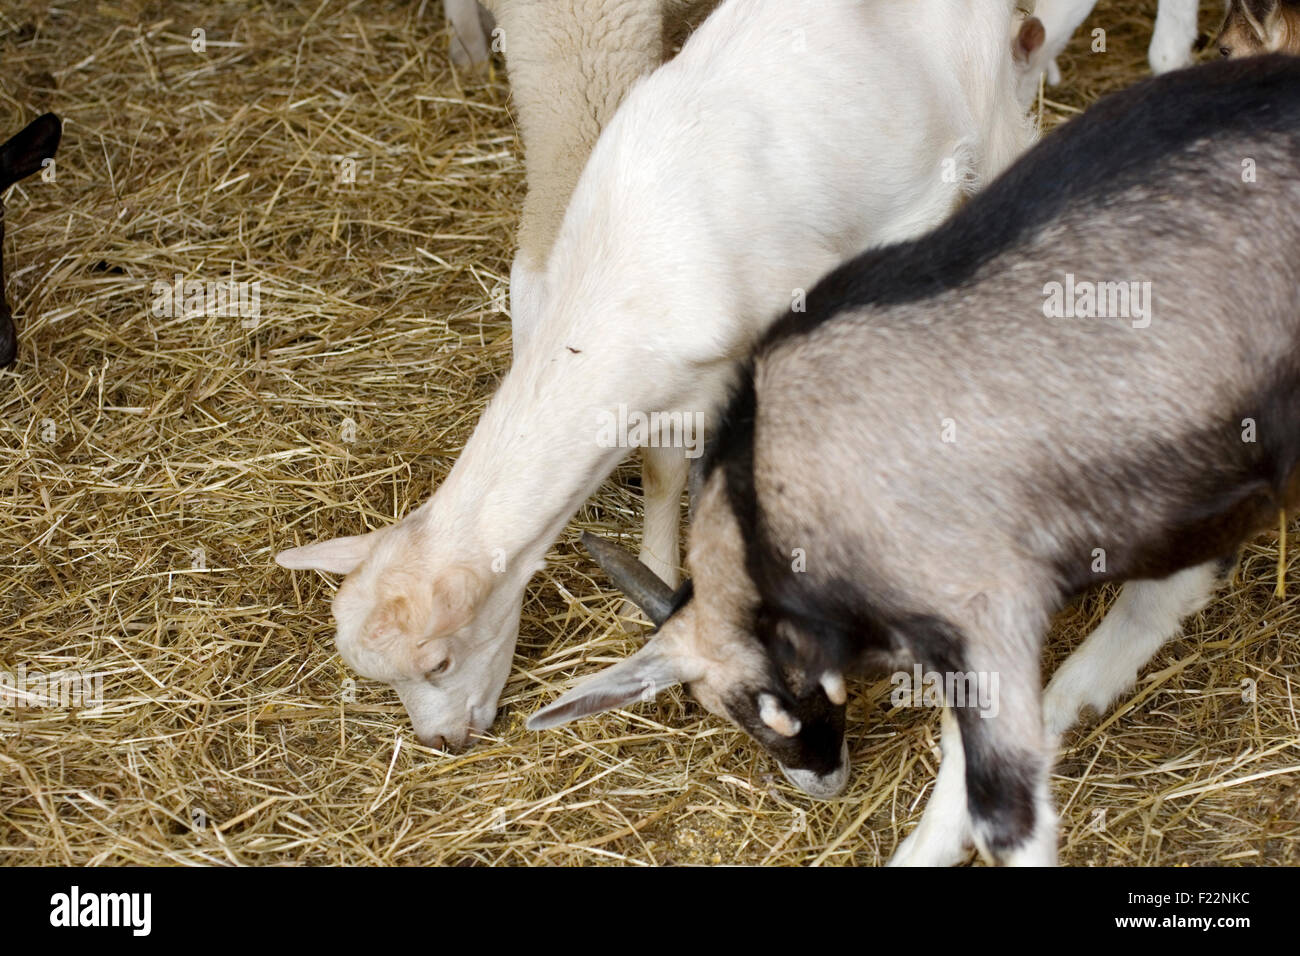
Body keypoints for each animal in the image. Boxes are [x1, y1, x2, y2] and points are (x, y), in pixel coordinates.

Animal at [276, 0, 1043, 751]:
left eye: (439, 660)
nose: (444, 742)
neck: (627, 275)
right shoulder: (675, 388)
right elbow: (662, 471)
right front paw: (658, 577)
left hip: (989, 102)